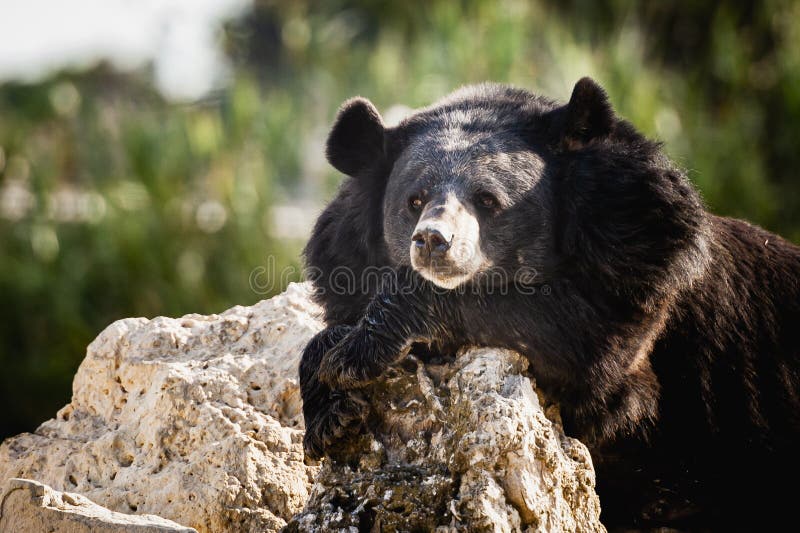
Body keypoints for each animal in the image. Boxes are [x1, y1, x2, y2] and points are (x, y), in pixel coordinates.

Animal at [298, 78, 800, 529]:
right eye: (414, 200)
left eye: (487, 200)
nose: (433, 242)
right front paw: (332, 413)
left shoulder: (642, 258)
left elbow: (583, 344)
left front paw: (358, 351)